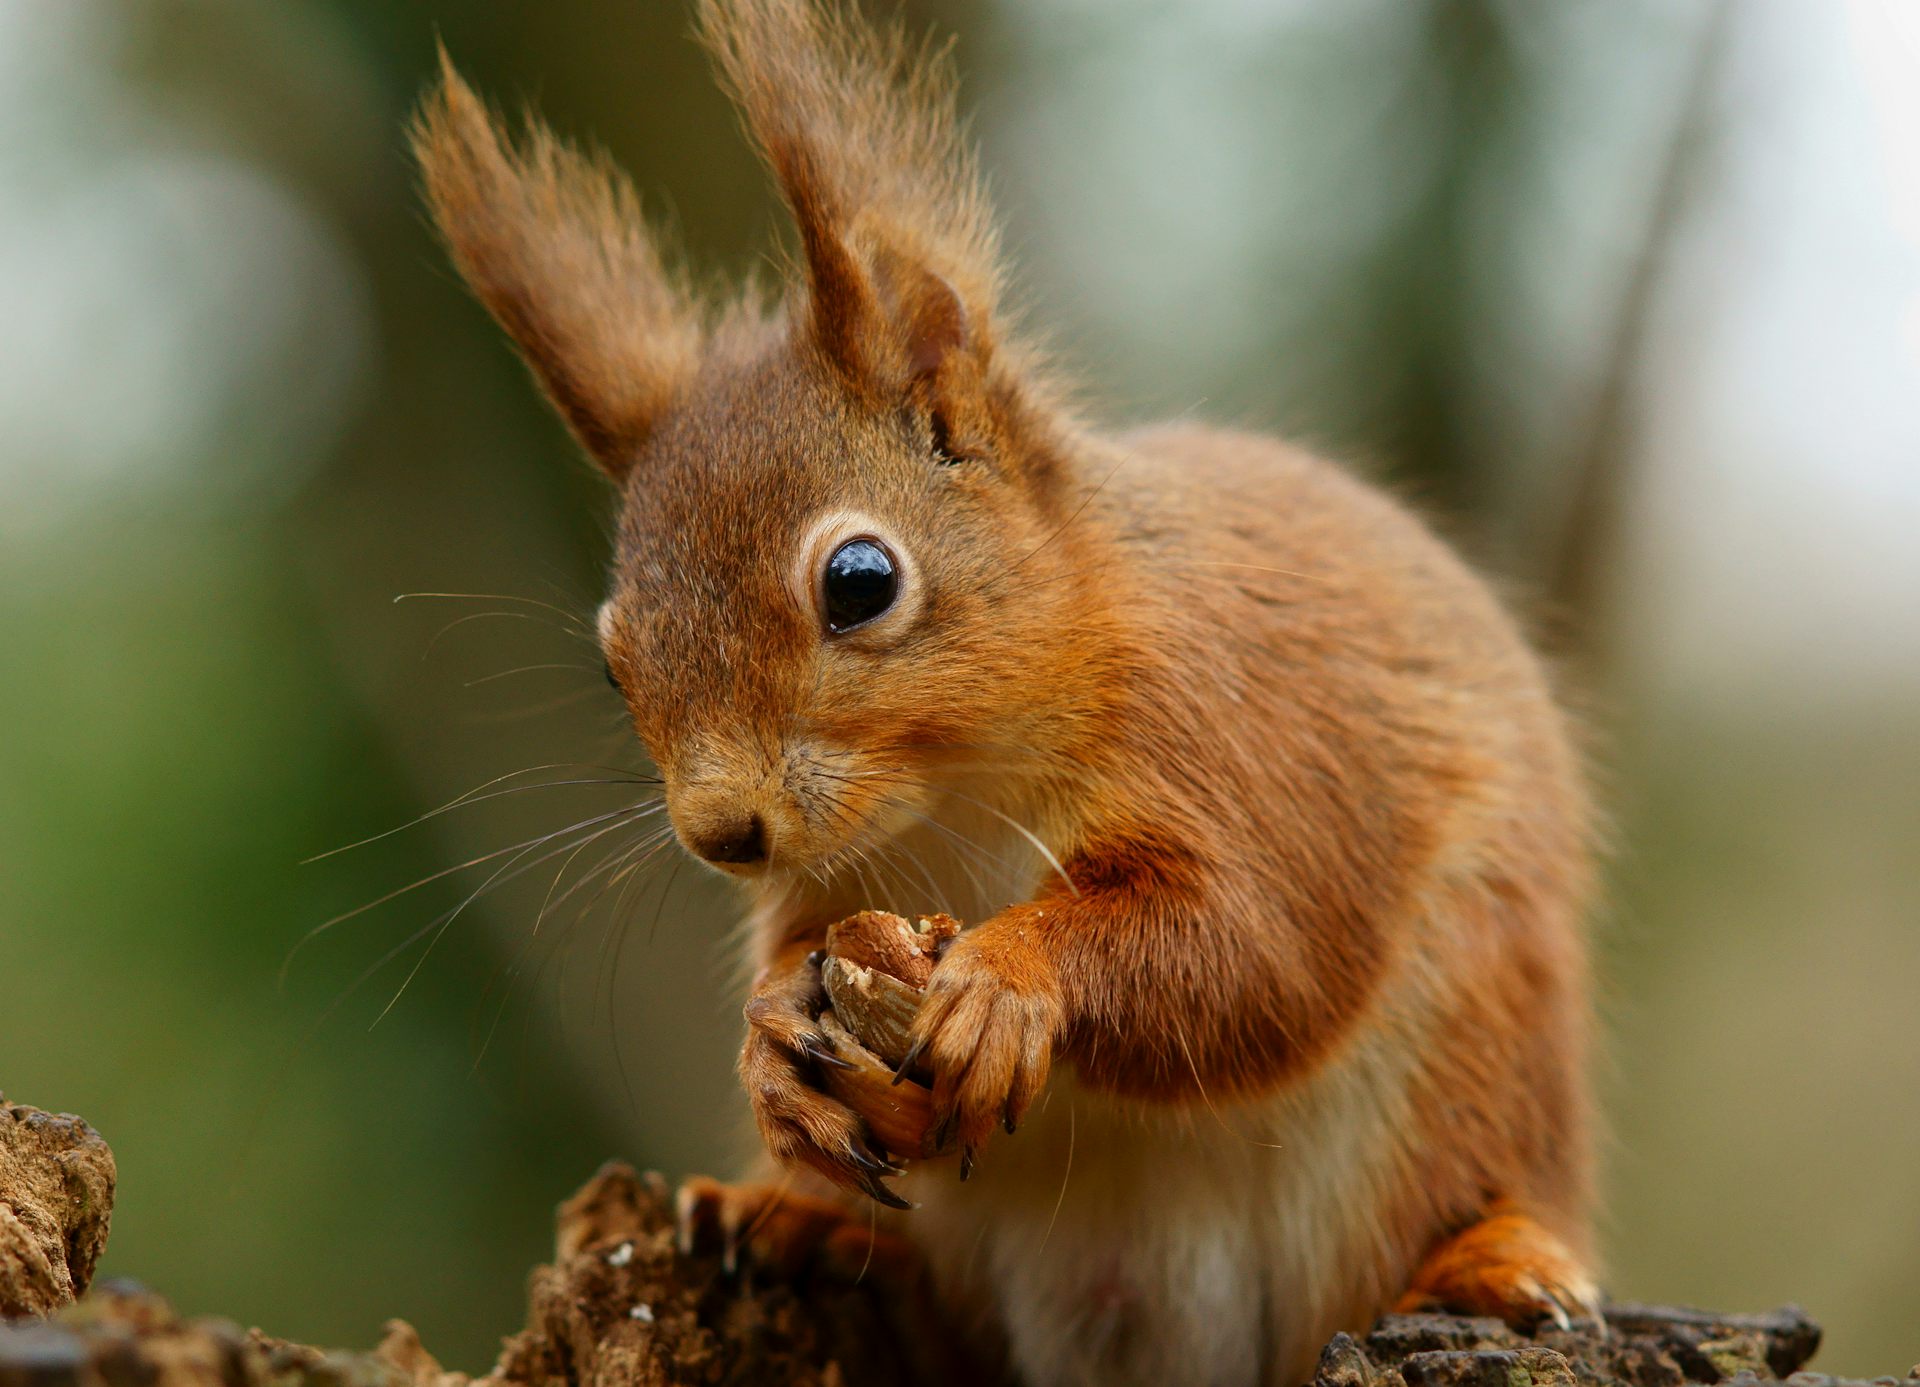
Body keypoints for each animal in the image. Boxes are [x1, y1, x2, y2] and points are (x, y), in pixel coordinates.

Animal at [411, 2, 1599, 1384]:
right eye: (612, 657)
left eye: (860, 581)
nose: (722, 833)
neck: (958, 793)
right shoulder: (834, 885)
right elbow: (798, 959)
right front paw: (770, 1042)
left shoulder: (1251, 739)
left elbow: (1256, 946)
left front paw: (1009, 981)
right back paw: (791, 1218)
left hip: (1466, 1064)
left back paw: (1497, 1260)